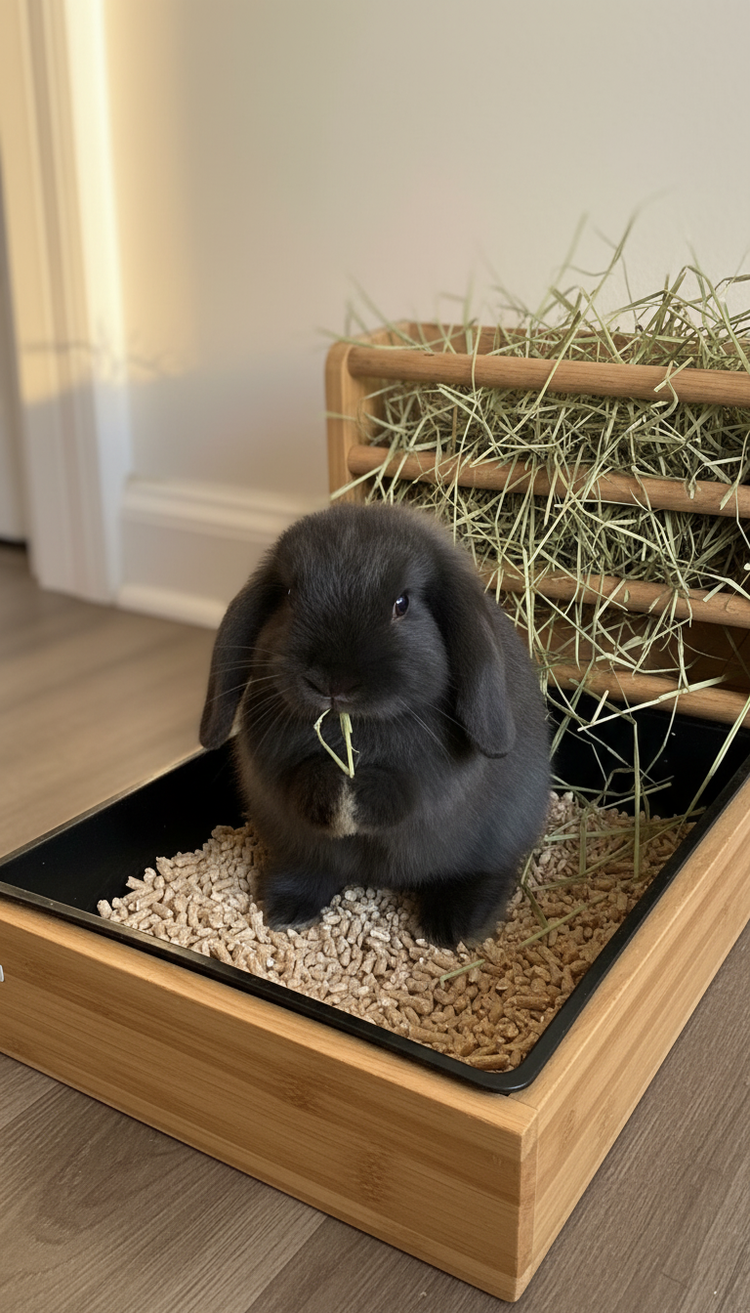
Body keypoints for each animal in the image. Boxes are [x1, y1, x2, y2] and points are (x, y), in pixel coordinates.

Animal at [199, 501, 550, 947]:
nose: (332, 683)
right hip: (297, 849)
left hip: (493, 841)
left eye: (402, 603)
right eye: (290, 596)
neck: (351, 726)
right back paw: (285, 909)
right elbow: (300, 782)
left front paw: (353, 796)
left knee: (482, 874)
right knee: (308, 868)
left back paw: (456, 927)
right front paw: (335, 795)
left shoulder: (433, 782)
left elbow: (401, 795)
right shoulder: (275, 770)